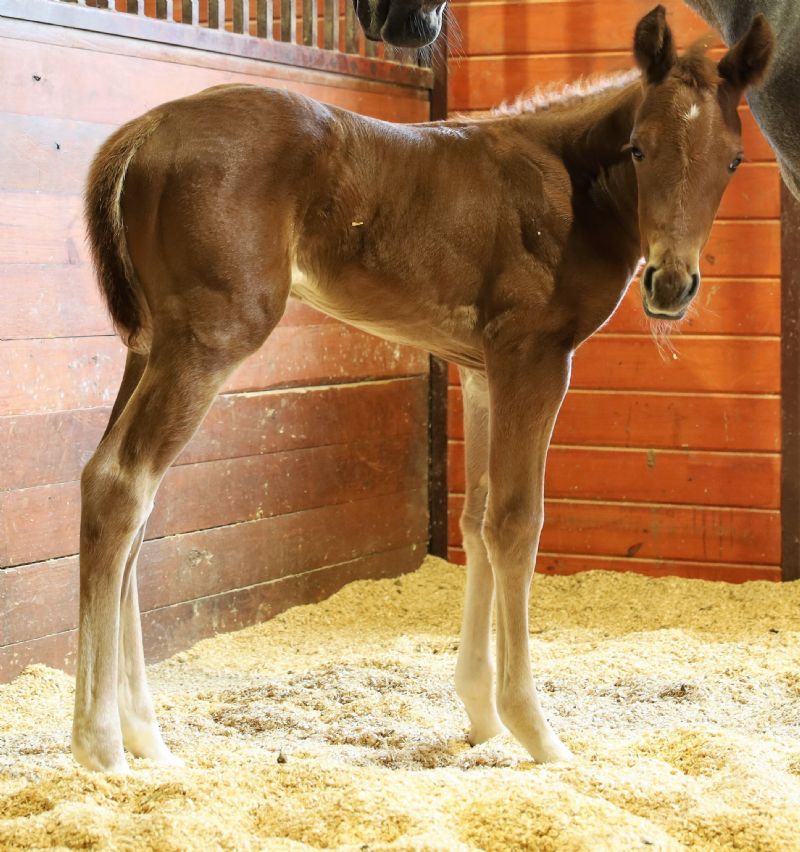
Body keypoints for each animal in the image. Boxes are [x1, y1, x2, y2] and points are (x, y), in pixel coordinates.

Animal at [72, 5, 773, 772]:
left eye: (732, 161)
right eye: (640, 150)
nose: (670, 286)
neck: (569, 180)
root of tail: (147, 128)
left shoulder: (481, 367)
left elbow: (476, 518)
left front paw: (481, 713)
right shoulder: (536, 357)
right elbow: (516, 523)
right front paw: (536, 731)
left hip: (149, 345)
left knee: (129, 499)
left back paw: (147, 739)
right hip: (212, 338)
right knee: (120, 484)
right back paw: (100, 747)